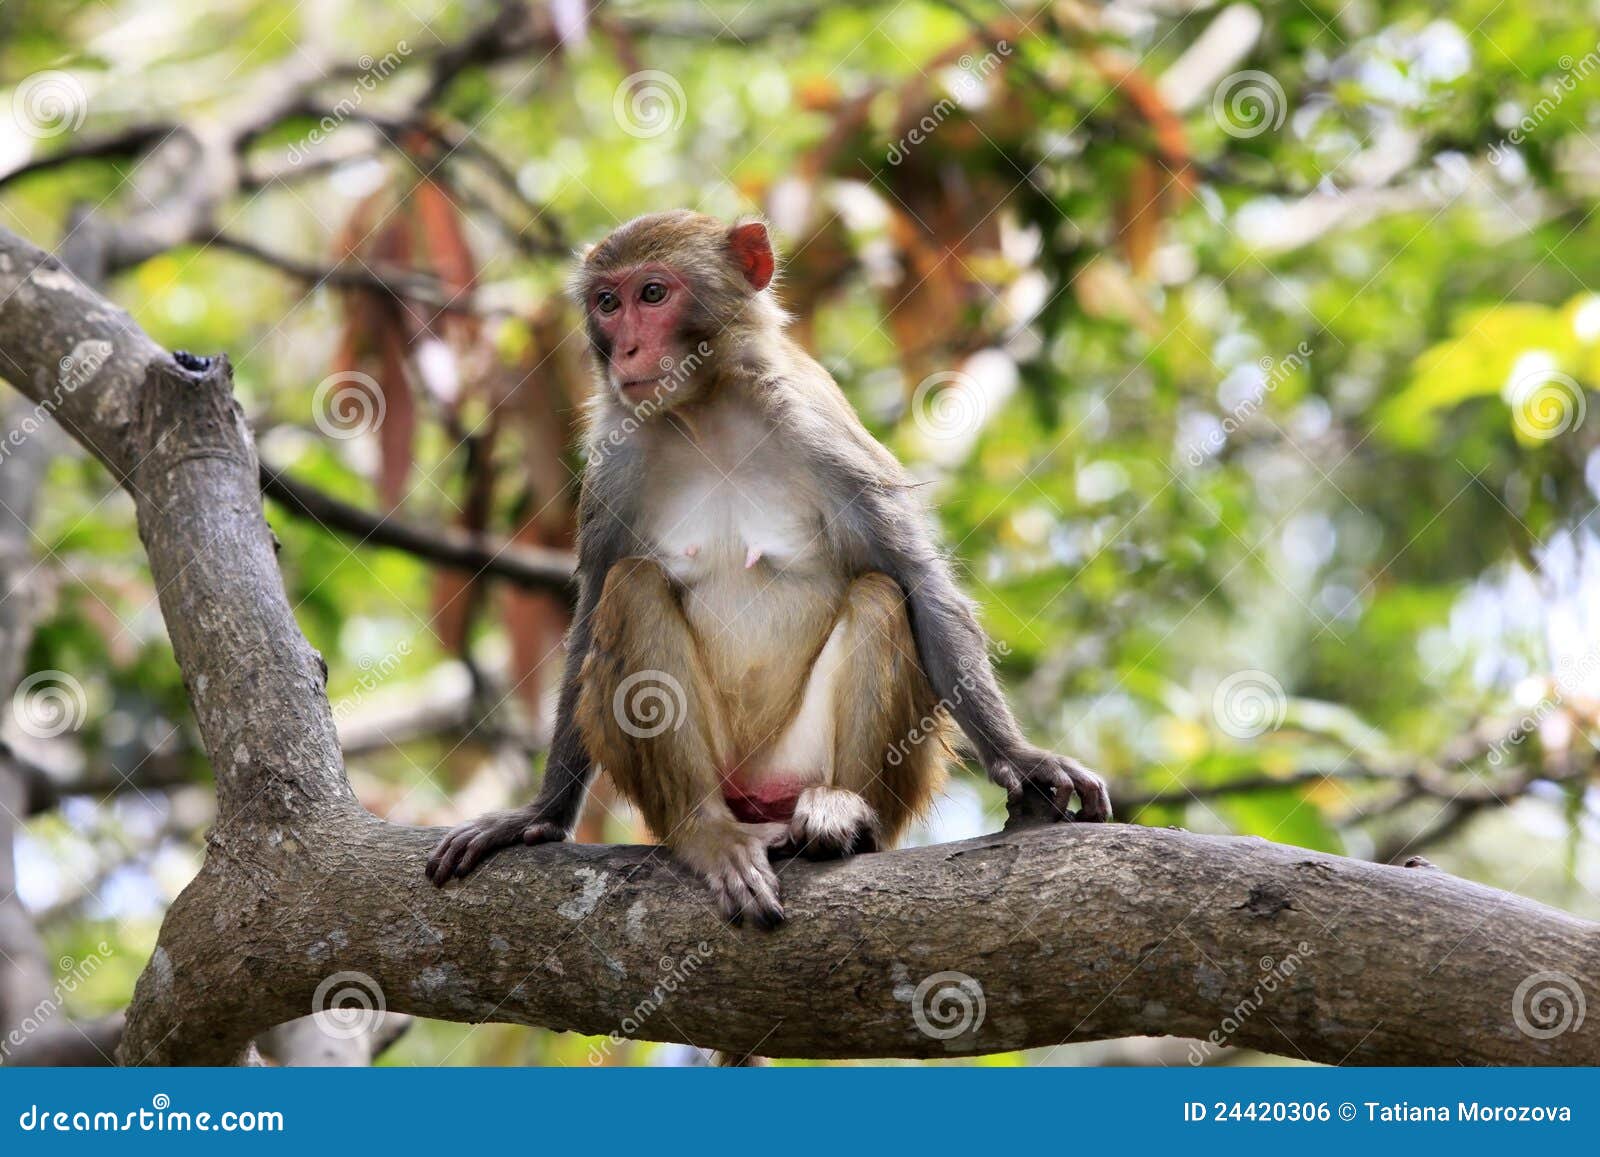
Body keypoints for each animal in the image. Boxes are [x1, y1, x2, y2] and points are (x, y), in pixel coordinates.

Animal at [425, 210, 1111, 926]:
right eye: (607, 303)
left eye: (653, 294)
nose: (628, 352)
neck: (708, 410)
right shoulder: (615, 457)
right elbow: (590, 615)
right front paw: (540, 814)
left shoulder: (820, 429)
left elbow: (916, 580)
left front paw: (1023, 760)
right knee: (632, 587)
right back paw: (709, 833)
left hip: (806, 766)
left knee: (880, 596)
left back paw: (842, 816)